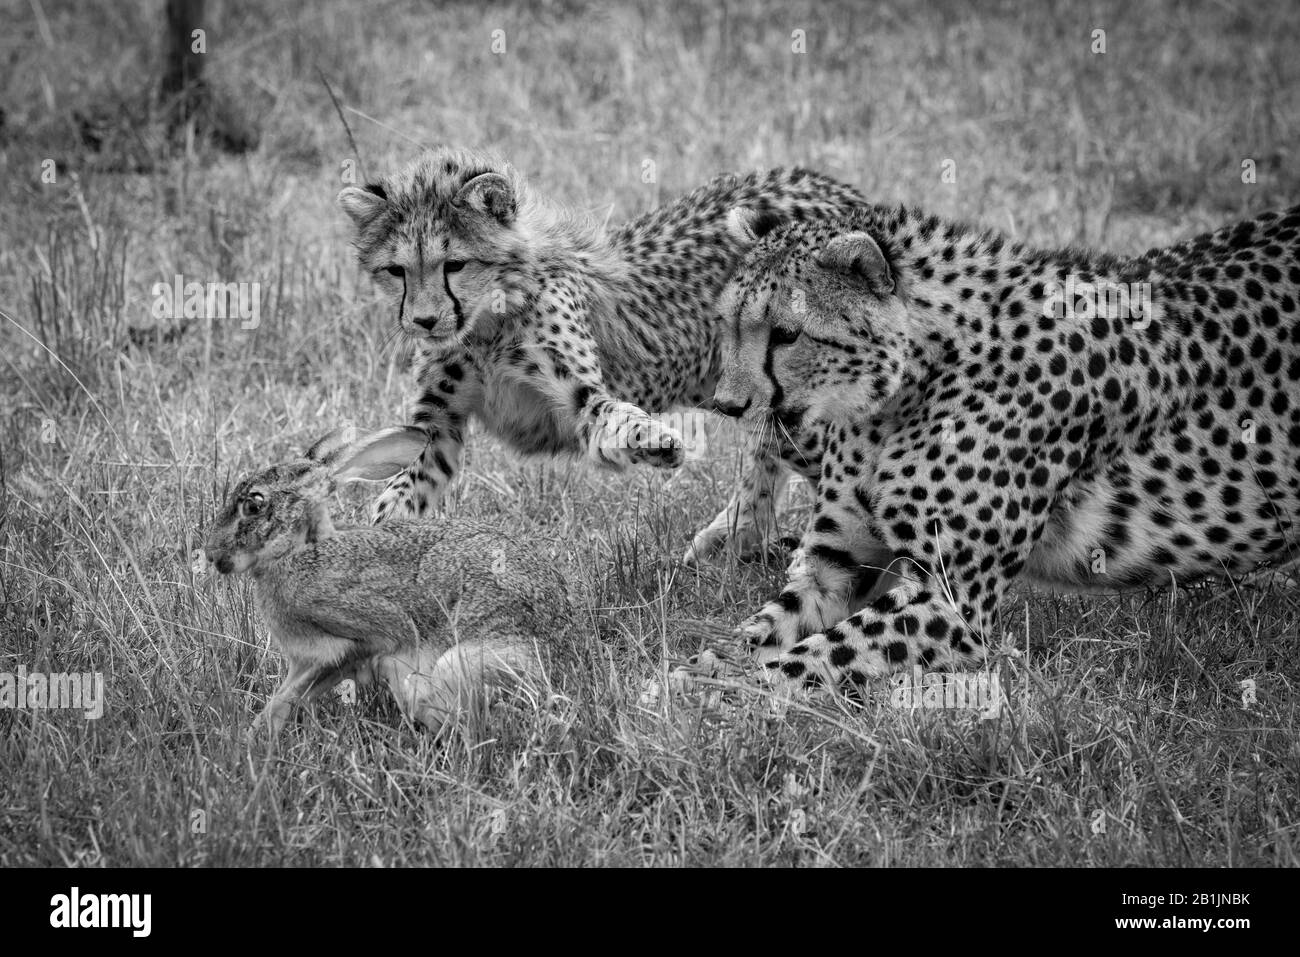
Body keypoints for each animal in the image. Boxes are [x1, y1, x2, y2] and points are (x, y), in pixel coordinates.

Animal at [204, 425, 573, 737]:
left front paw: (252, 738)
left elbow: (289, 696)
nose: (211, 553)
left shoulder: (354, 639)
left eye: (255, 504)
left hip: (462, 666)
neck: (301, 550)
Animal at [336, 147, 866, 562]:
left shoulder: (578, 397)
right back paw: (730, 540)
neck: (487, 325)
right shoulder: (437, 426)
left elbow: (611, 415)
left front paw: (655, 440)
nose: (423, 321)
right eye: (396, 270)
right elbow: (402, 486)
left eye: (455, 264)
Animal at [705, 199, 1300, 694]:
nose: (727, 405)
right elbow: (763, 627)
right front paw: (707, 667)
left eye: (787, 334)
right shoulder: (839, 565)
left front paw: (729, 694)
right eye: (729, 325)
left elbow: (811, 656)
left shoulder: (952, 603)